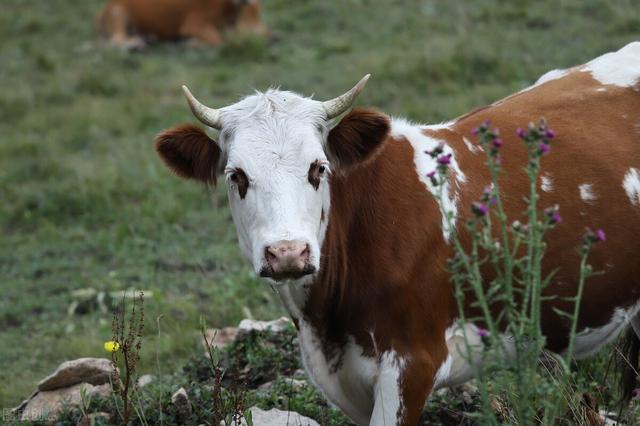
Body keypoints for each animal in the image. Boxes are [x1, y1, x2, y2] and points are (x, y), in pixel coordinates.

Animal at [97, 0, 268, 49]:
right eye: (250, 15)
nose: (273, 37)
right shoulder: (194, 24)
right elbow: (220, 41)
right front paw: (191, 43)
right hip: (118, 13)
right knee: (115, 41)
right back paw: (137, 45)